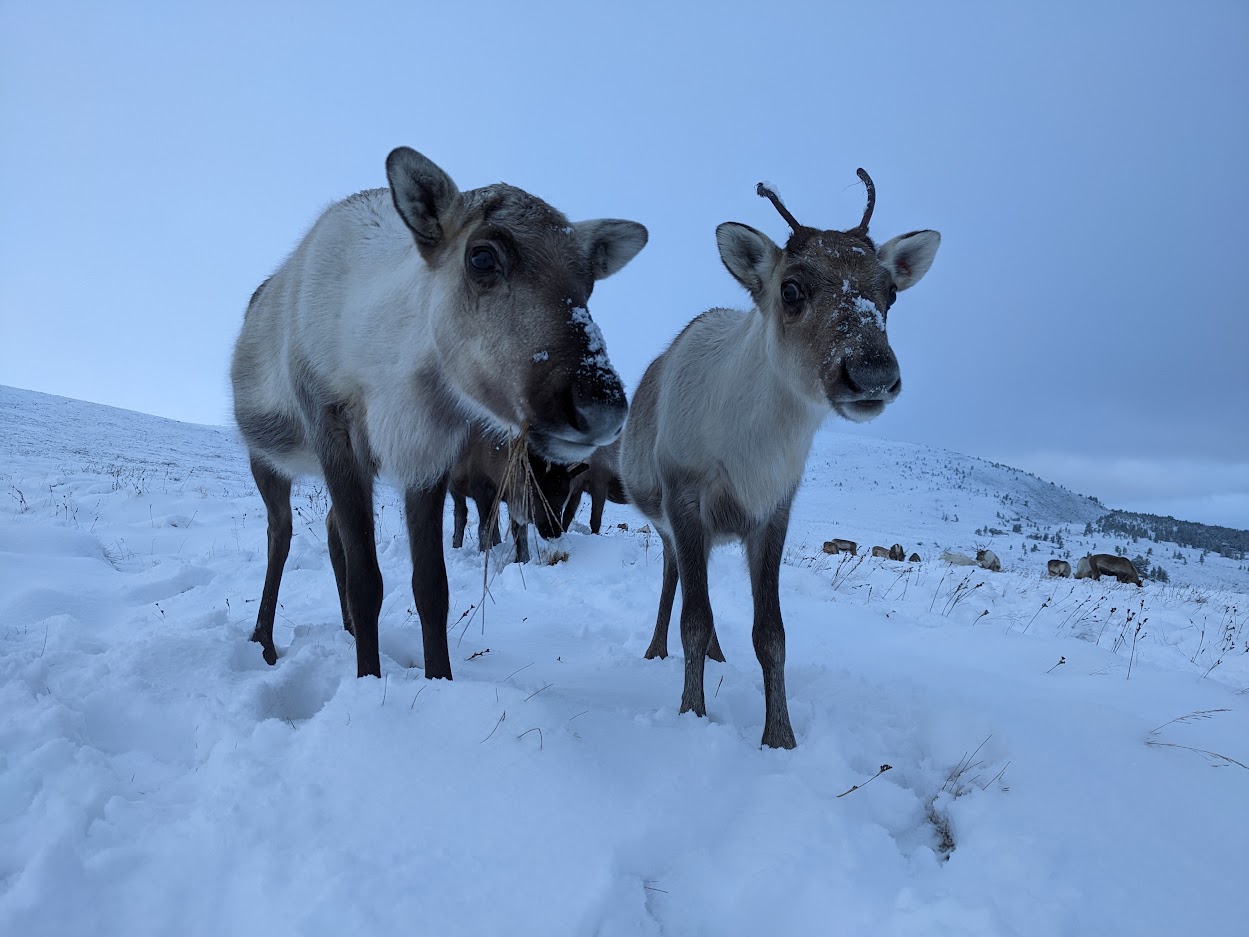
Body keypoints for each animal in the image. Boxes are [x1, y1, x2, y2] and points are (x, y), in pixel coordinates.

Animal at [231, 146, 647, 680]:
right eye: (482, 256)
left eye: (589, 279)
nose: (601, 407)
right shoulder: (335, 431)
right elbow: (368, 581)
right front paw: (369, 677)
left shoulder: (427, 454)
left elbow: (432, 587)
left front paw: (439, 679)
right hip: (266, 456)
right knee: (279, 534)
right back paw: (263, 638)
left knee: (328, 531)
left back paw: (344, 627)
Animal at [619, 171, 940, 748]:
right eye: (791, 289)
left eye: (890, 293)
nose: (873, 373)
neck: (753, 451)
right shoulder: (686, 498)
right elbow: (693, 619)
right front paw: (692, 713)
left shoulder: (773, 510)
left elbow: (771, 634)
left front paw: (780, 736)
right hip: (663, 520)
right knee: (672, 578)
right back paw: (656, 649)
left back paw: (719, 656)